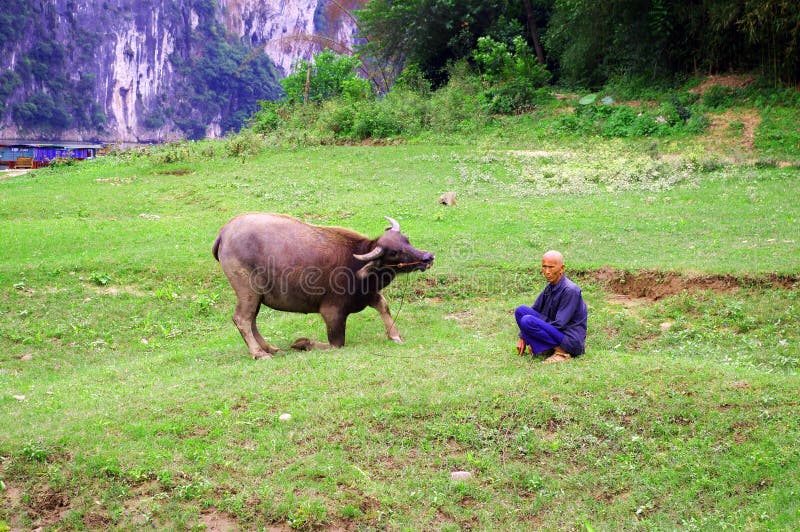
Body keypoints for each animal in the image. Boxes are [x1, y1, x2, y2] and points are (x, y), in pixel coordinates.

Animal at [212, 213, 434, 359]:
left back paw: (271, 349)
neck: (356, 265)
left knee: (252, 320)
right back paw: (259, 353)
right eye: (394, 252)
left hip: (257, 295)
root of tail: (224, 233)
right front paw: (302, 343)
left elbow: (384, 306)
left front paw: (395, 335)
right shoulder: (332, 312)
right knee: (242, 319)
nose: (428, 257)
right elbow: (337, 344)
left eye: (406, 240)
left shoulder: (369, 294)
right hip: (247, 290)